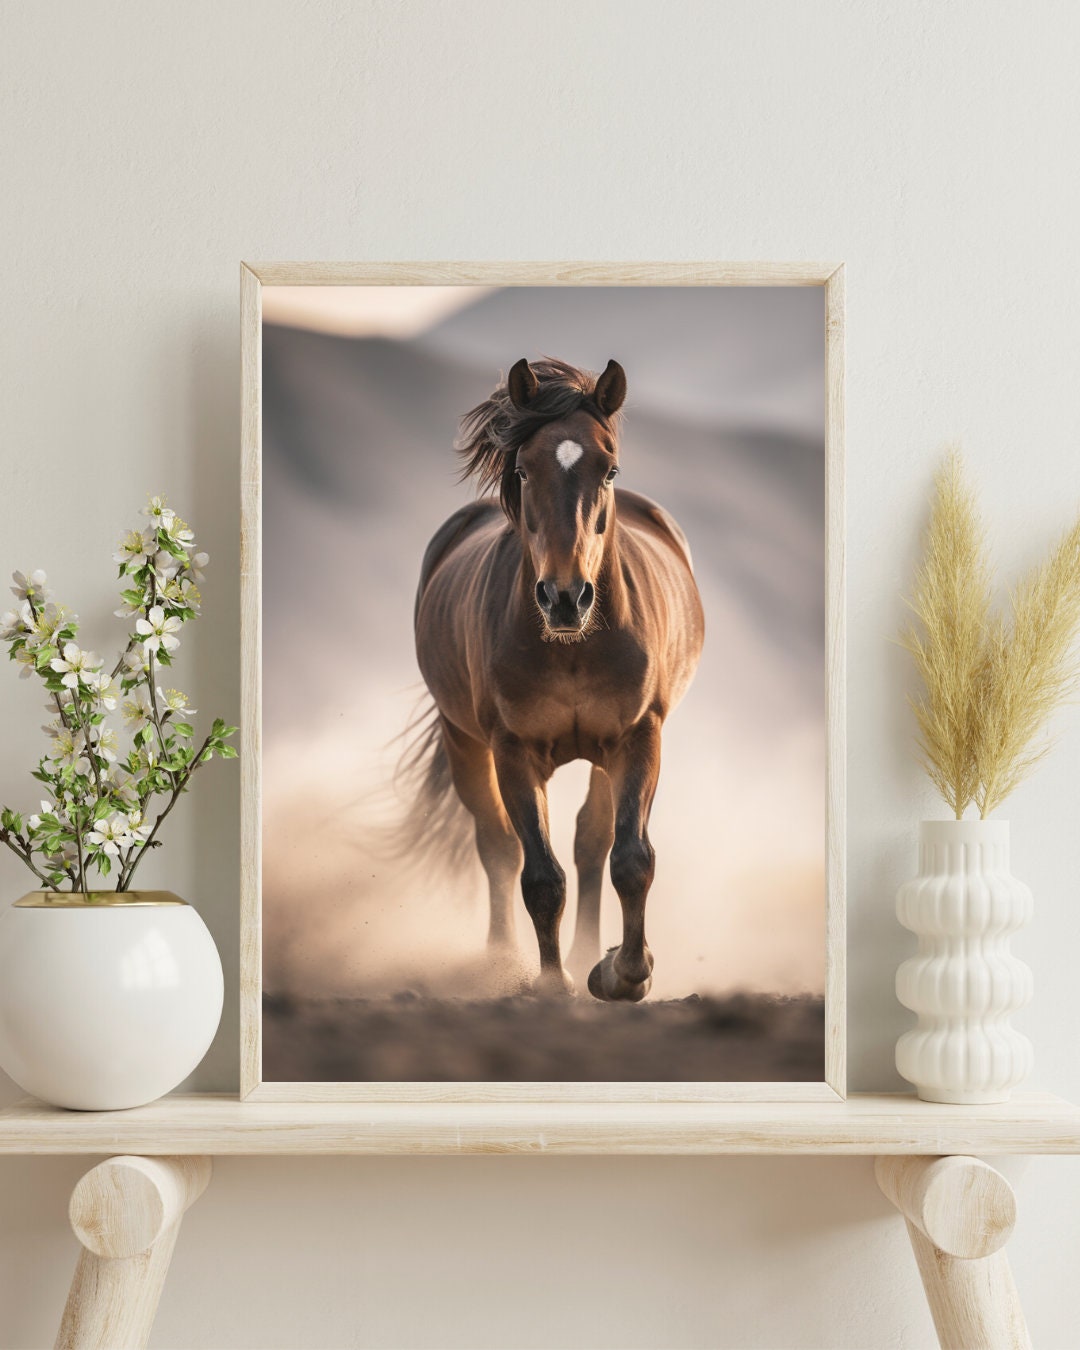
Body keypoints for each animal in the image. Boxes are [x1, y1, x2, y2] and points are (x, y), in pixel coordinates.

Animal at [408, 357, 704, 1000]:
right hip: (462, 739)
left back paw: (589, 951)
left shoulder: (638, 738)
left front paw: (624, 972)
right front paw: (549, 983)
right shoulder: (512, 749)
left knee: (592, 844)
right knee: (496, 846)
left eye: (609, 468)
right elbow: (539, 874)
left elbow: (630, 859)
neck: (572, 647)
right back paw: (501, 959)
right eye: (523, 468)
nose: (566, 597)